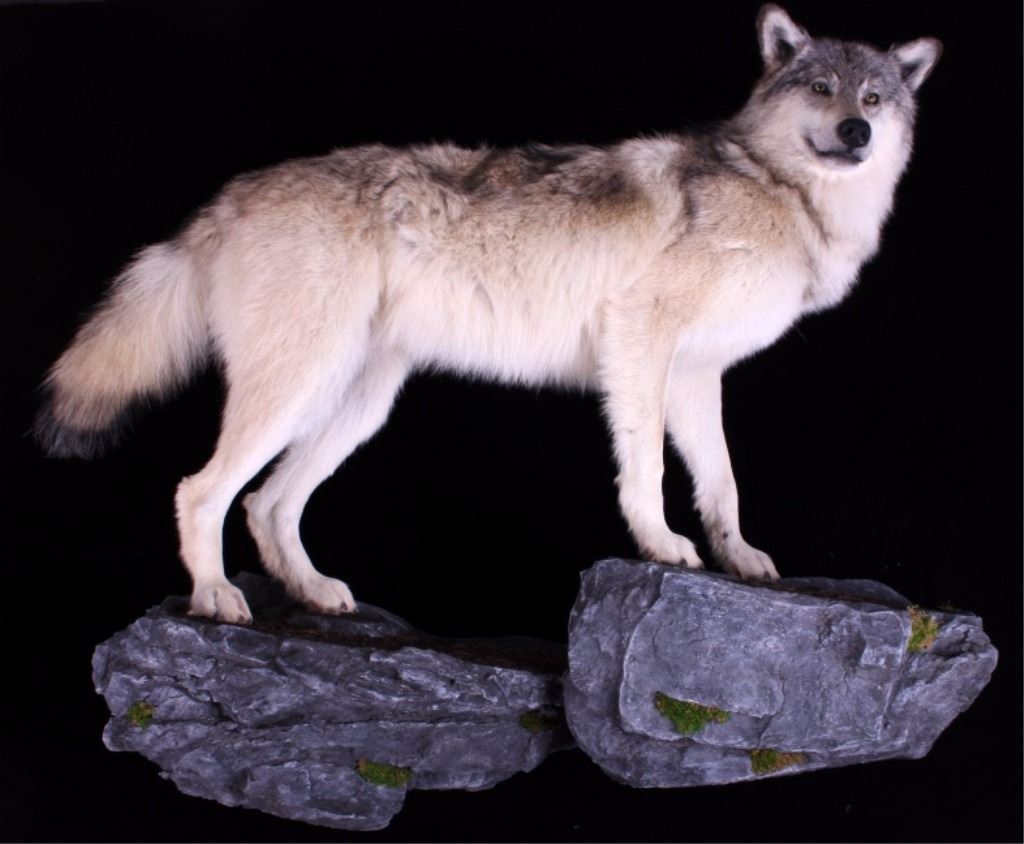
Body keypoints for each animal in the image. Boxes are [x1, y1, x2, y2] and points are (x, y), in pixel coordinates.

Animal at [35, 6, 941, 622]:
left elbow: (722, 481)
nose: (855, 131)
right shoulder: (639, 342)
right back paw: (216, 596)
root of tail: (228, 198)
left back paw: (317, 594)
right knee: (202, 491)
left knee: (267, 504)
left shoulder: (695, 375)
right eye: (819, 88)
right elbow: (647, 470)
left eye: (874, 97)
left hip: (356, 405)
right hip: (296, 390)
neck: (781, 192)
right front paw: (661, 547)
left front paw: (742, 559)